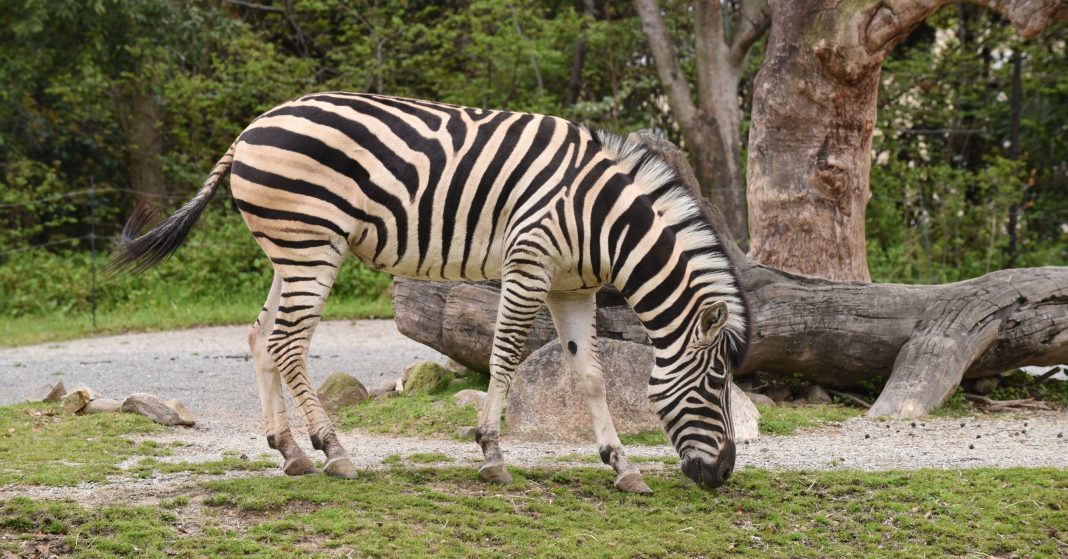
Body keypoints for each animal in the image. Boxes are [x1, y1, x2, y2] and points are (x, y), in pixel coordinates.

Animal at [109, 92, 749, 492]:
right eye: (717, 381)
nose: (723, 474)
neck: (606, 221)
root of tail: (247, 133)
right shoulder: (529, 262)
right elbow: (504, 357)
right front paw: (491, 452)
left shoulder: (573, 289)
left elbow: (590, 377)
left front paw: (622, 466)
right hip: (312, 245)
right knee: (289, 343)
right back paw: (334, 451)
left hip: (288, 250)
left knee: (261, 337)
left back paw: (290, 451)